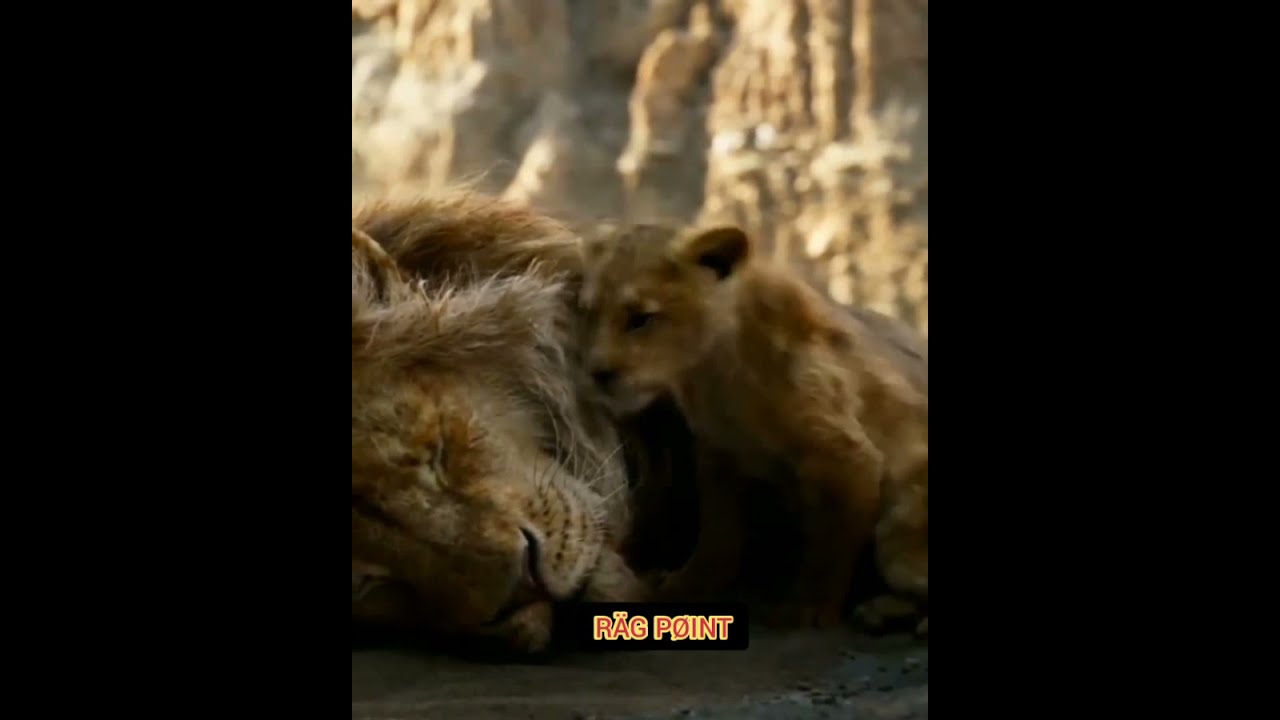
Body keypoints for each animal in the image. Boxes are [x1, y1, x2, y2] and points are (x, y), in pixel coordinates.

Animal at [577, 222, 928, 634]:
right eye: (590, 313)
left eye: (641, 318)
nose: (597, 374)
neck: (711, 374)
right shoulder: (720, 457)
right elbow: (716, 537)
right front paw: (683, 586)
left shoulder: (845, 455)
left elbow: (829, 548)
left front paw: (807, 610)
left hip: (898, 533)